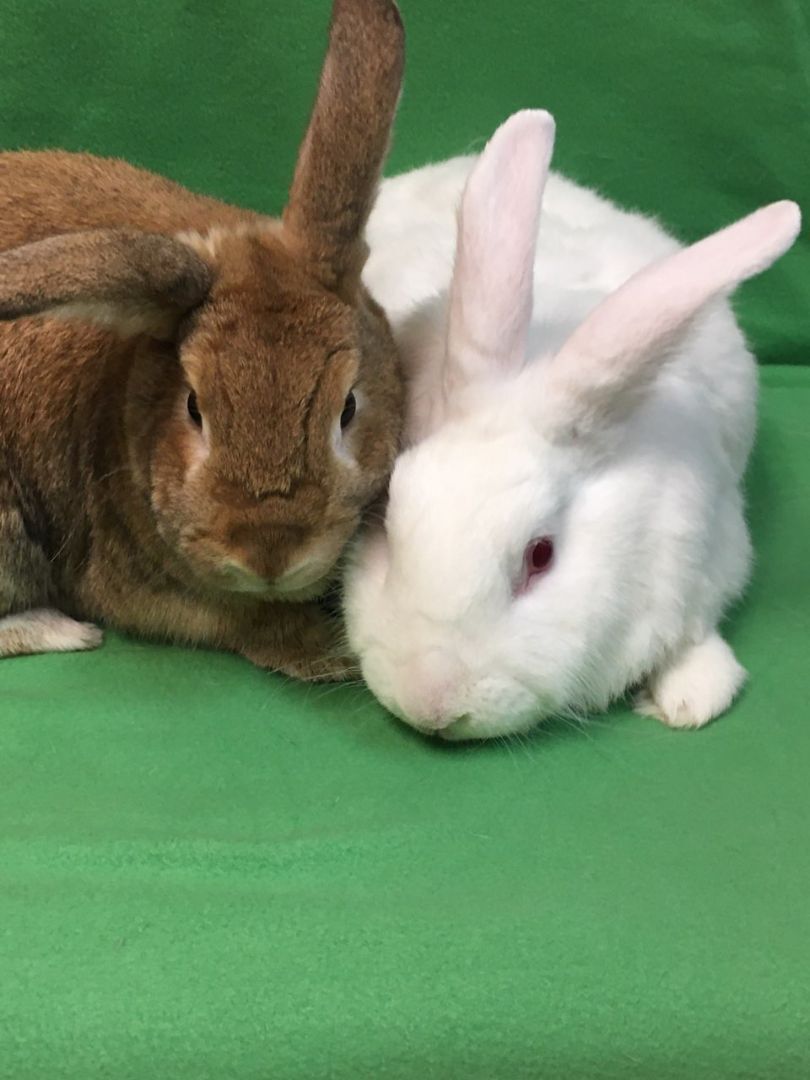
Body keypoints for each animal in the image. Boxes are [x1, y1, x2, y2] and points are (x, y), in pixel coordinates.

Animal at [0, 0, 405, 681]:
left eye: (348, 408)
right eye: (193, 406)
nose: (268, 552)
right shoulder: (134, 586)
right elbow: (238, 619)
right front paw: (328, 654)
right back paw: (65, 630)